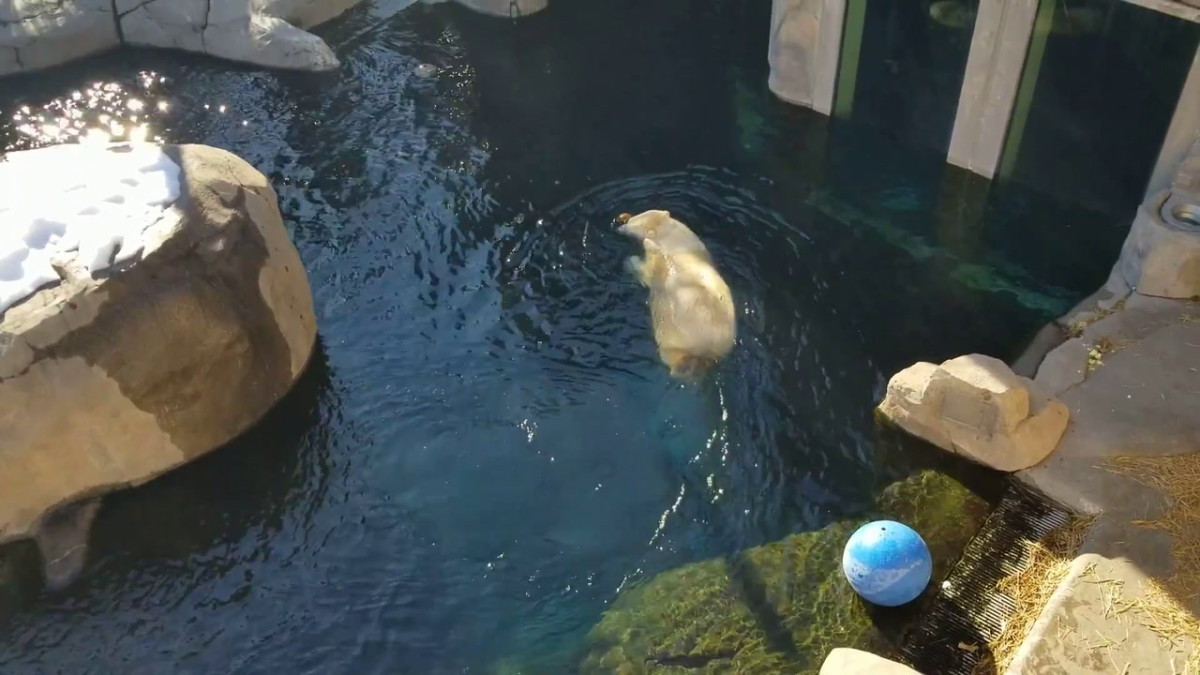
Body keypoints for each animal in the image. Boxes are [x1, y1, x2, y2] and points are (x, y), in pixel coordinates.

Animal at [617, 209, 737, 380]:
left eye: (631, 222)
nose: (619, 227)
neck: (674, 243)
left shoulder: (662, 261)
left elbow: (647, 269)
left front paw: (631, 260)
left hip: (675, 337)